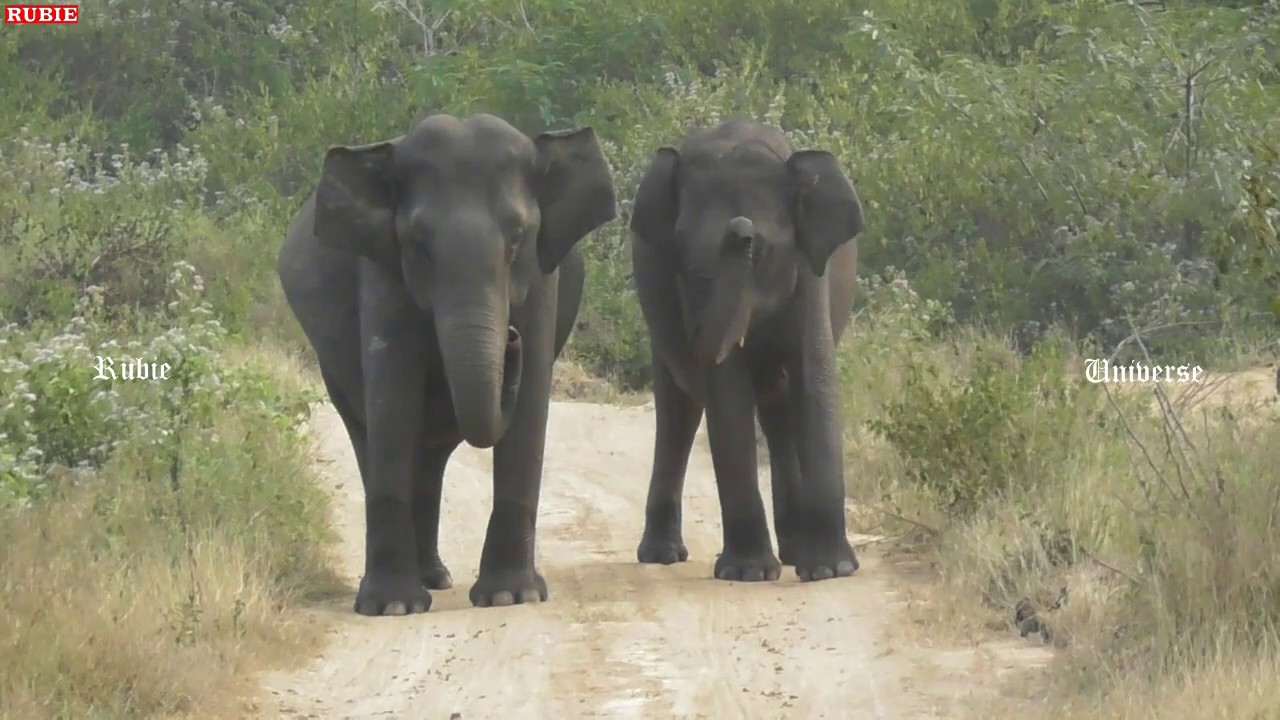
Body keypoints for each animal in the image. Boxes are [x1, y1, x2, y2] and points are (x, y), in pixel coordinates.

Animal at [276, 112, 617, 616]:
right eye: (418, 243)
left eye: (517, 239)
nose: (510, 338)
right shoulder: (382, 269)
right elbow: (394, 395)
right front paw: (391, 608)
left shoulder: (542, 275)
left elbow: (531, 399)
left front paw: (510, 597)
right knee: (372, 437)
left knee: (432, 457)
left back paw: (436, 578)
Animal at [628, 119, 864, 583]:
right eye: (679, 246)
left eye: (763, 249)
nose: (740, 231)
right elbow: (728, 394)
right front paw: (749, 573)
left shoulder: (810, 271)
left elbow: (814, 380)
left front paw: (832, 570)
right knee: (679, 416)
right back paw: (662, 555)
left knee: (779, 415)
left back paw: (795, 554)